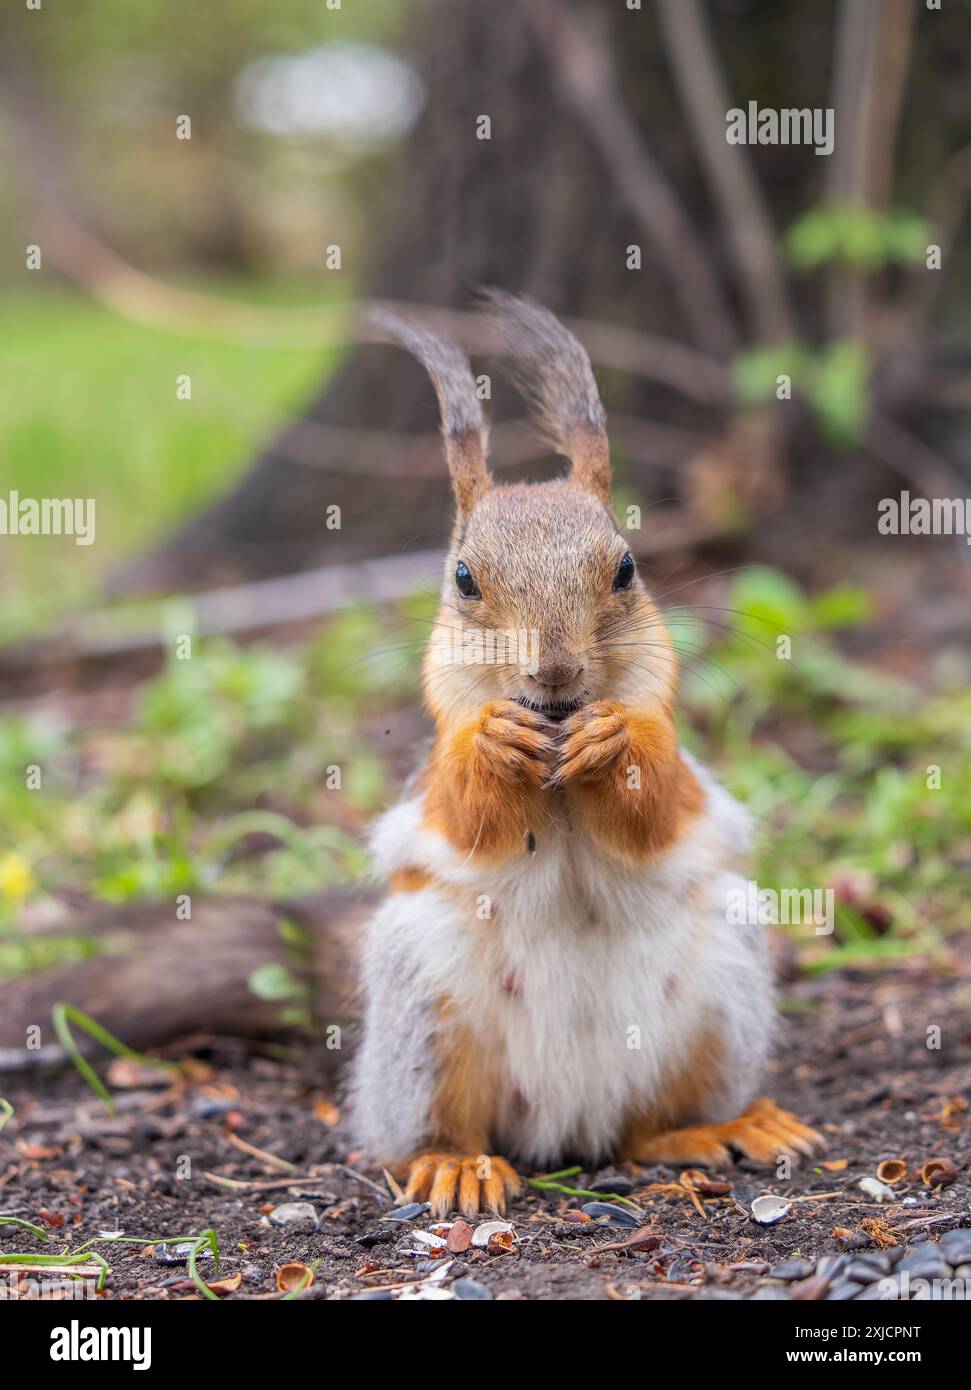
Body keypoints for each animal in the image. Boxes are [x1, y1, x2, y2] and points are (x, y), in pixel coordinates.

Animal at [350, 291, 823, 1219]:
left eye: (627, 568)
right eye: (462, 578)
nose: (556, 672)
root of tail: (569, 1123)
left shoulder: (682, 773)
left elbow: (658, 809)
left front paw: (615, 742)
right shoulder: (432, 784)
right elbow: (464, 819)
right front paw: (492, 742)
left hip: (725, 977)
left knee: (648, 1128)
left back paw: (719, 1129)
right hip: (418, 1003)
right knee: (436, 1128)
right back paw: (455, 1165)